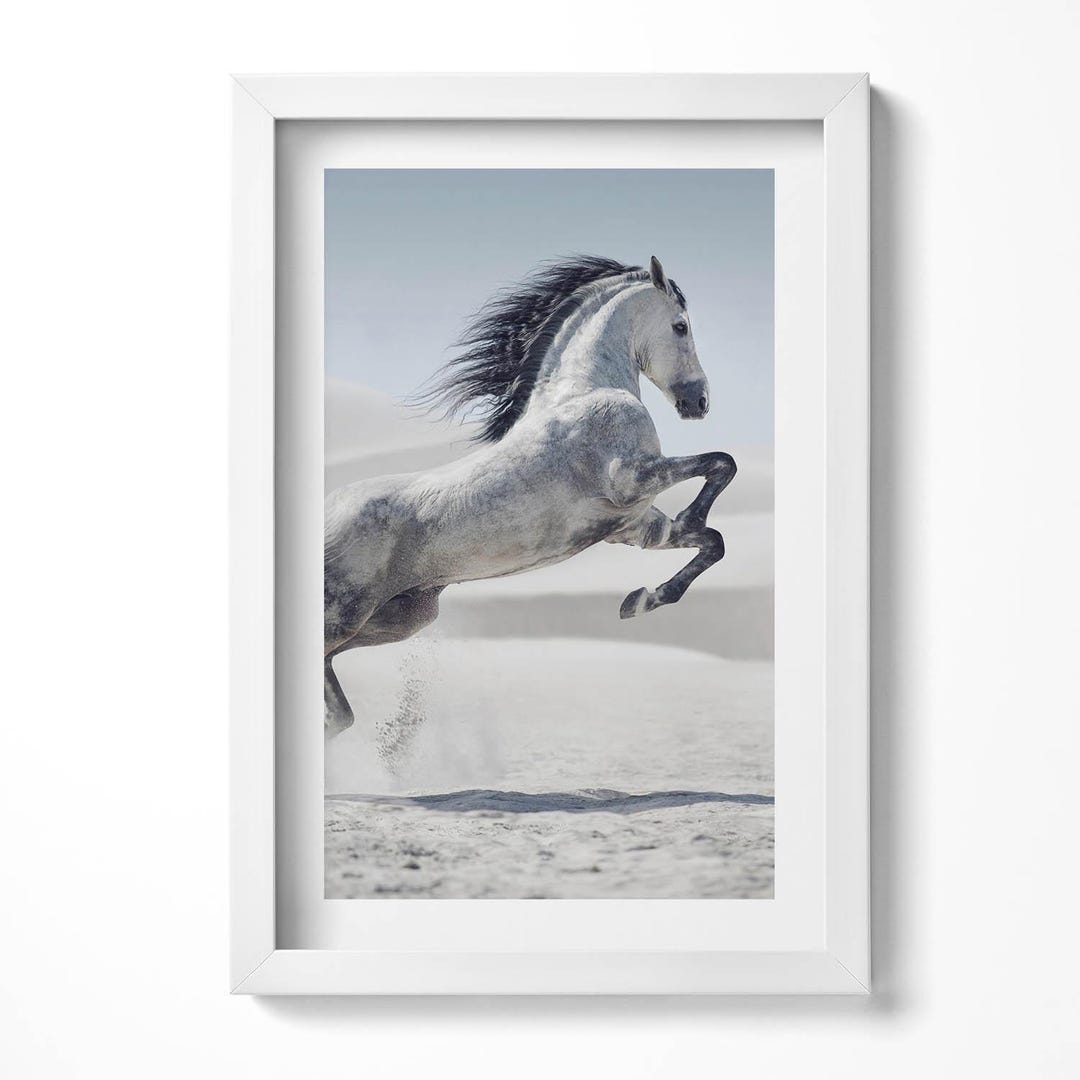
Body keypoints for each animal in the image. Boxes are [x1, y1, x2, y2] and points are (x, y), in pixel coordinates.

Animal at [324, 255, 737, 737]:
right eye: (680, 326)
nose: (699, 403)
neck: (583, 391)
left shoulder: (633, 526)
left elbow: (713, 541)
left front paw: (639, 601)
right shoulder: (631, 478)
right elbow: (722, 462)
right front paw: (689, 519)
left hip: (401, 618)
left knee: (338, 708)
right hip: (345, 615)